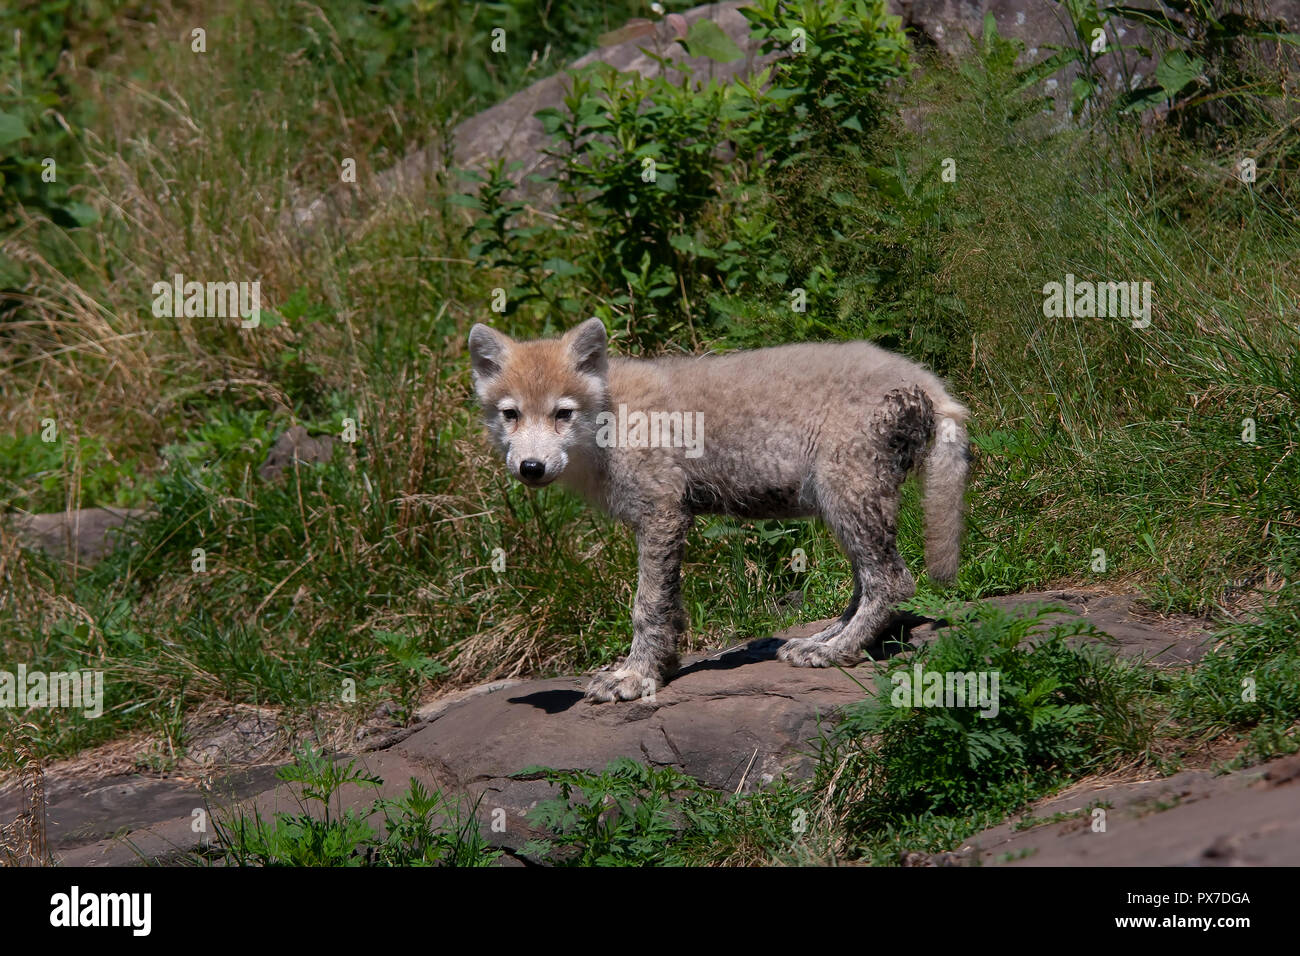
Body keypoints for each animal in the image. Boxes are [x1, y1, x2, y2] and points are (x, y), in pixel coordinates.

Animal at [468, 317, 970, 703]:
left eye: (563, 413)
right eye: (511, 414)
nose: (531, 467)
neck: (612, 419)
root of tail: (932, 384)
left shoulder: (662, 515)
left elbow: (646, 607)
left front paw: (634, 677)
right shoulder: (665, 522)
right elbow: (671, 609)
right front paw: (662, 667)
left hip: (846, 500)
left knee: (894, 582)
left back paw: (834, 652)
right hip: (844, 510)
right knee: (866, 584)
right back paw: (820, 640)